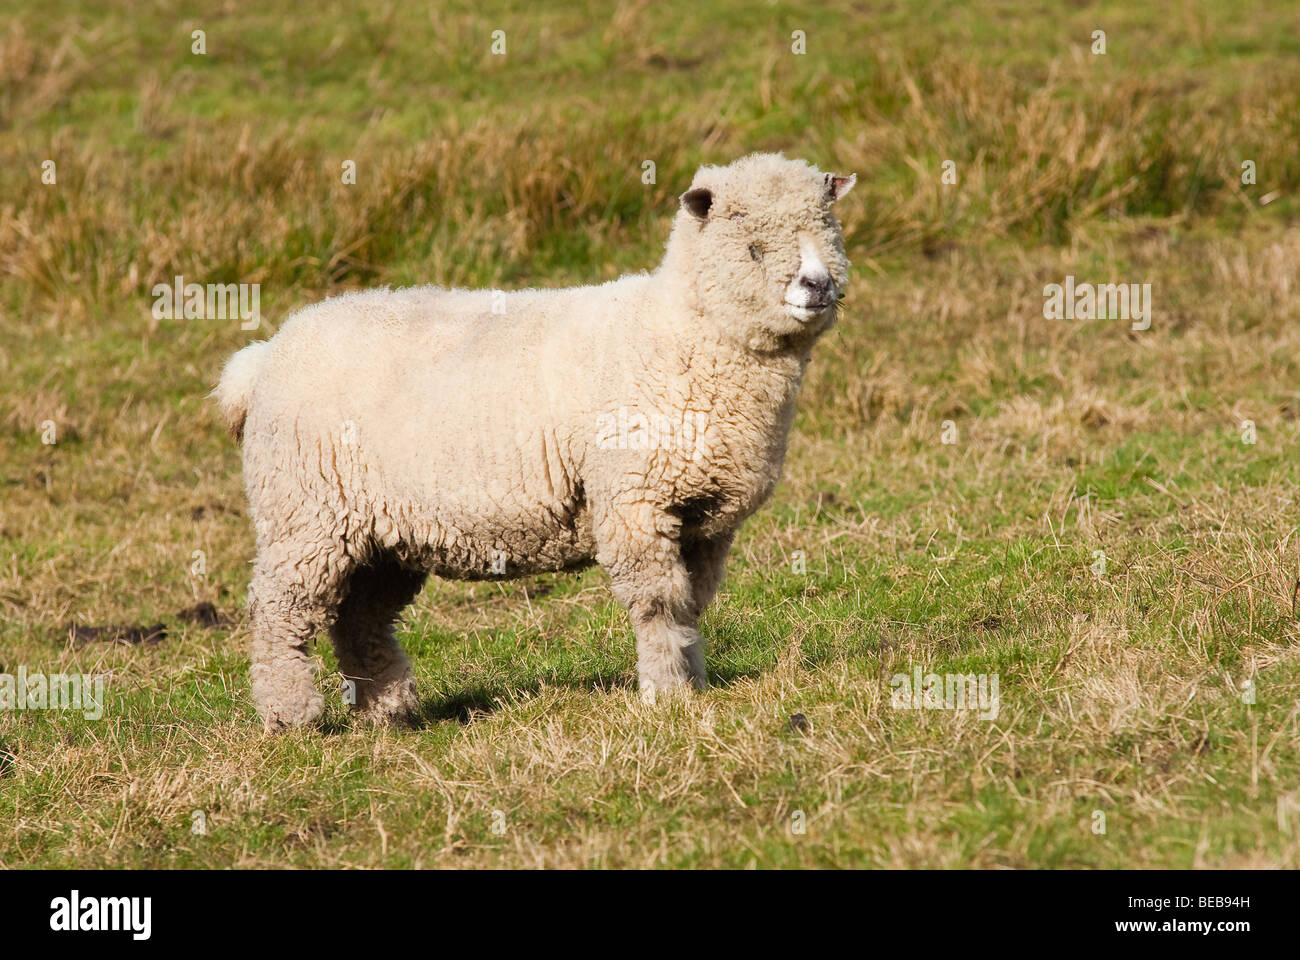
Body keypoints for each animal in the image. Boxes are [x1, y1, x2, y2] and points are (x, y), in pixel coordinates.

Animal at [214, 153, 856, 731]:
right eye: (752, 245)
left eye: (830, 231)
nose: (818, 285)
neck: (680, 333)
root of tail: (264, 357)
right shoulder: (633, 501)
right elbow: (657, 603)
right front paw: (666, 694)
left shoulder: (704, 519)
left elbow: (690, 605)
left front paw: (691, 679)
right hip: (304, 513)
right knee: (278, 610)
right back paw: (290, 715)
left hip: (380, 532)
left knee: (360, 620)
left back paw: (388, 712)